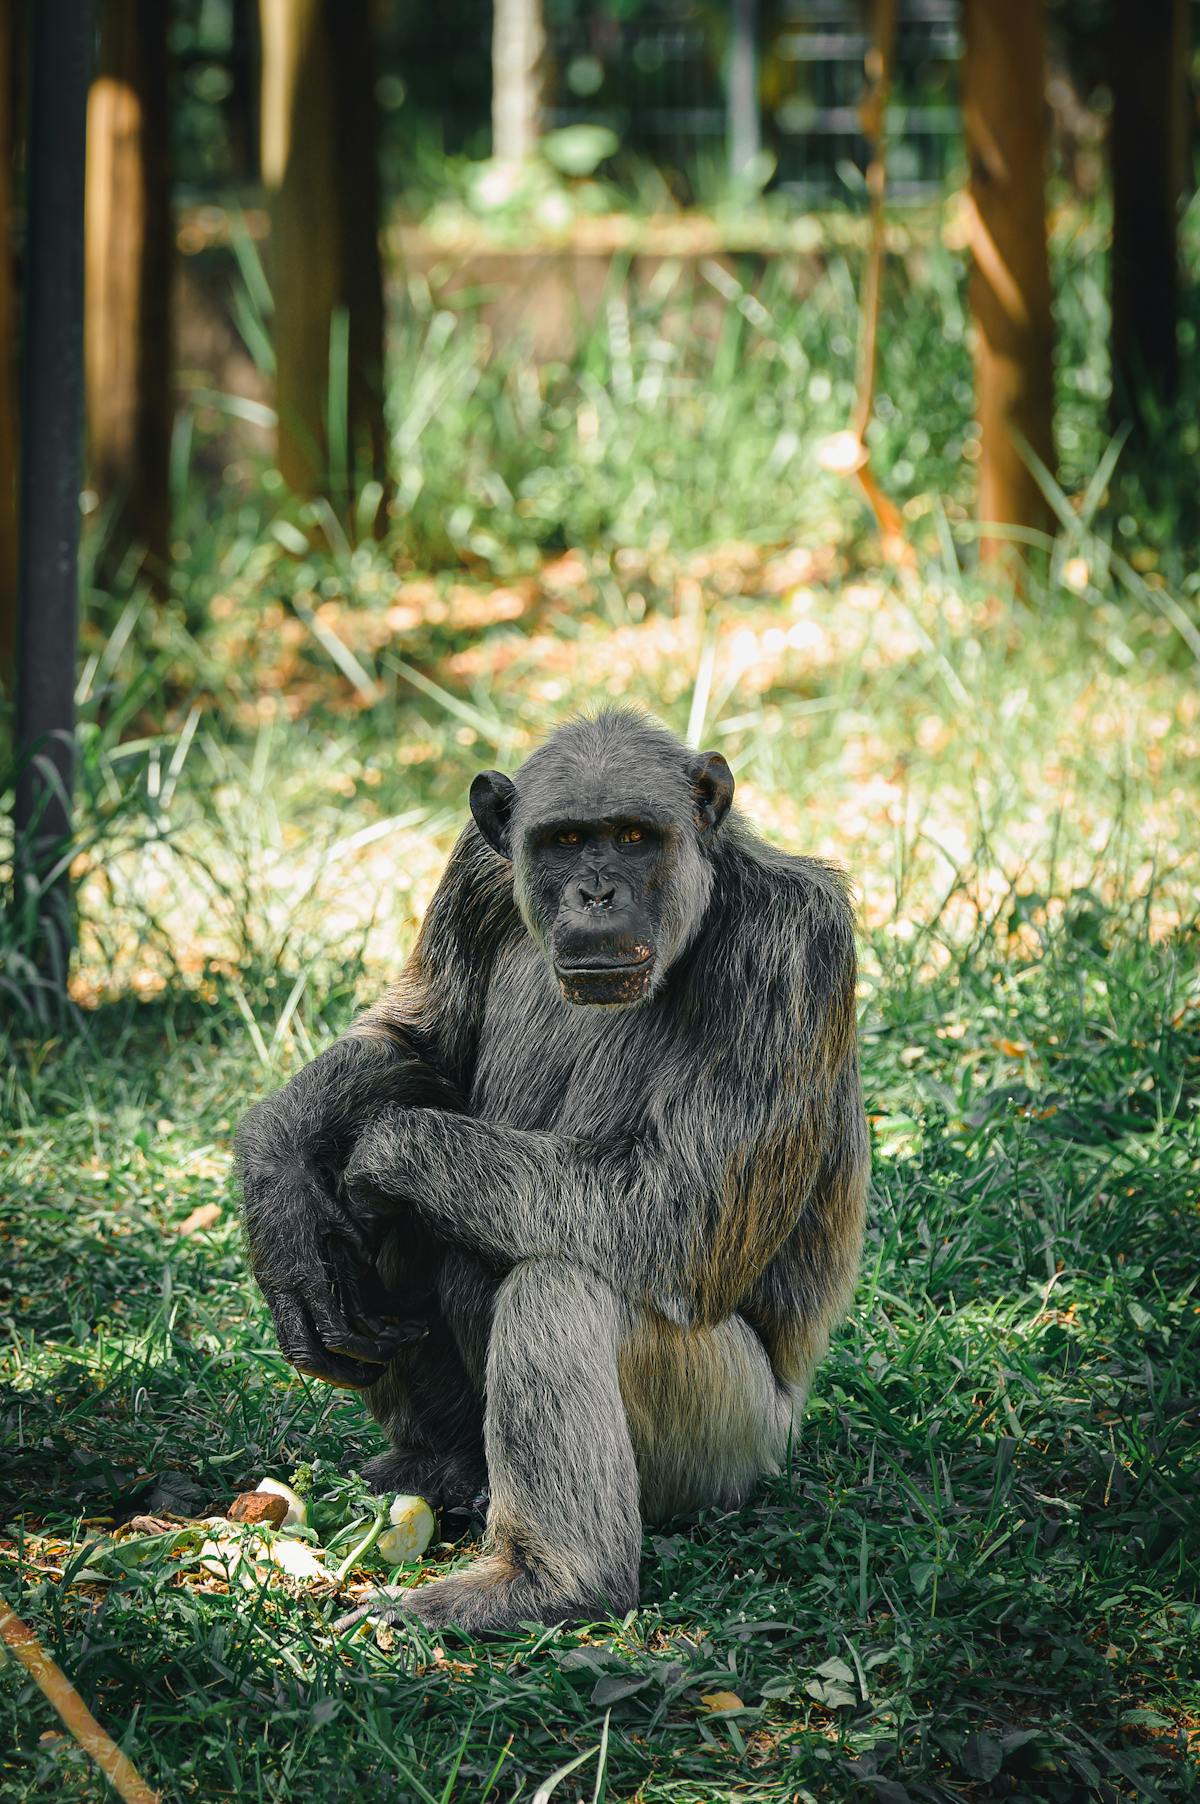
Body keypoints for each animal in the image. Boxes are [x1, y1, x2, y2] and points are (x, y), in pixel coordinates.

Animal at [235, 710, 869, 1633]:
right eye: (566, 840)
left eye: (634, 837)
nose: (597, 892)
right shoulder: (473, 869)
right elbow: (419, 1041)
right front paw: (279, 1178)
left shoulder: (788, 954)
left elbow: (683, 1211)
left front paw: (381, 1153)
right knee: (385, 1227)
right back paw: (440, 1463)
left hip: (730, 1443)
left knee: (558, 1287)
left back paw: (546, 1580)